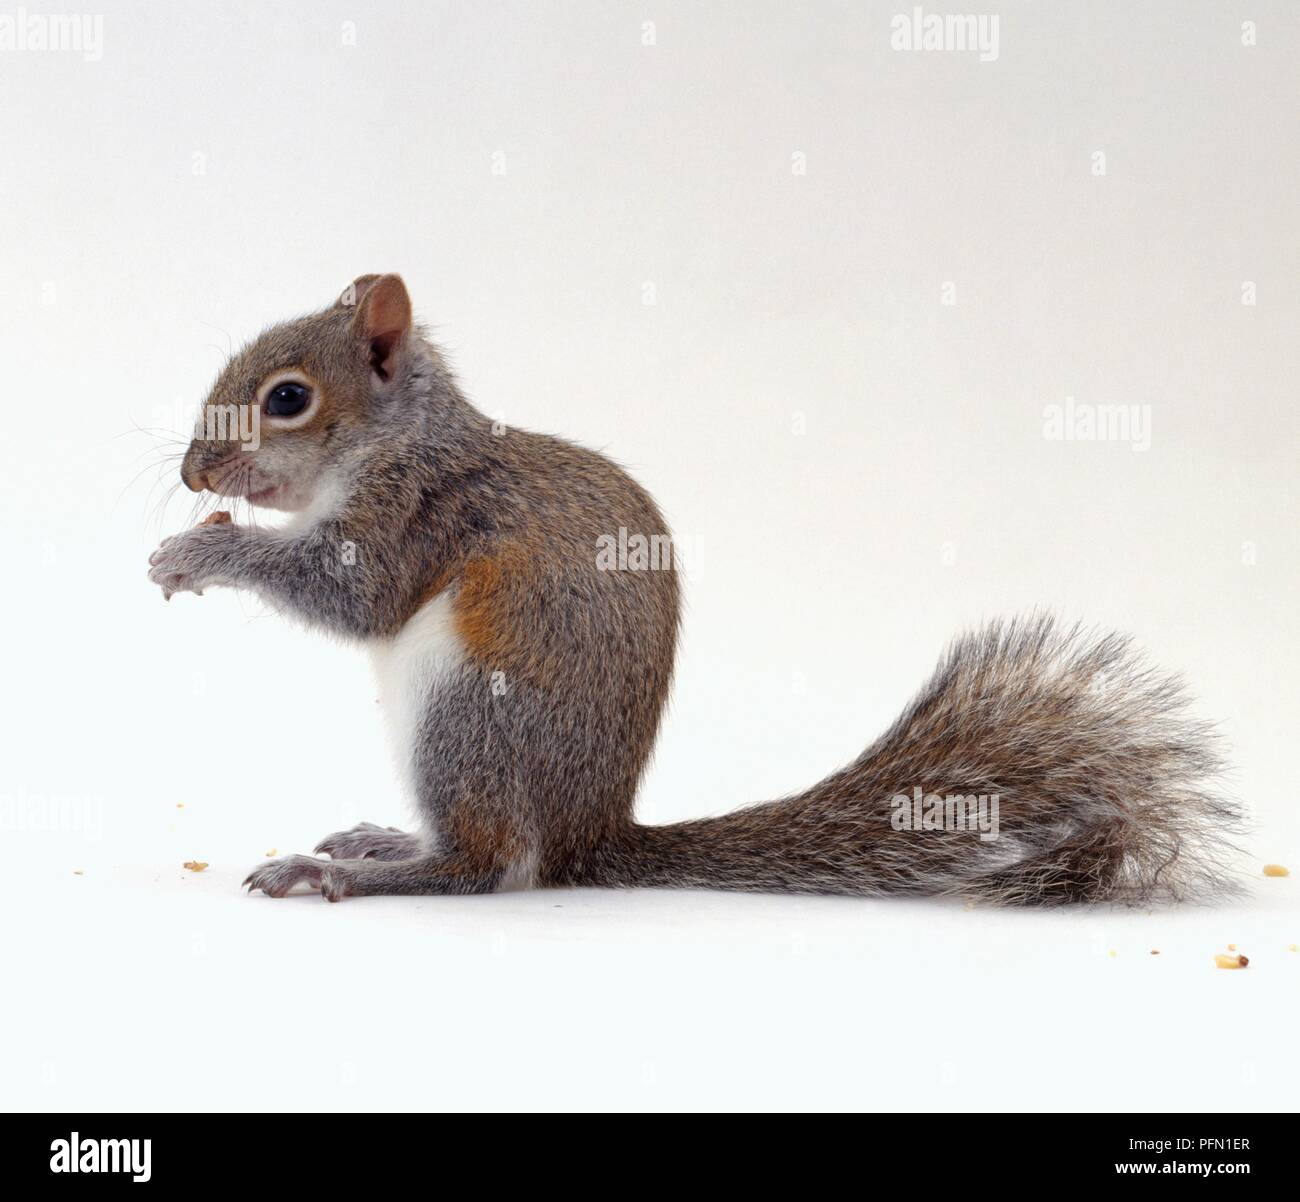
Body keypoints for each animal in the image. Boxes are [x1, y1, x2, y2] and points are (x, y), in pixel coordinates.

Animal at [148, 274, 1240, 905]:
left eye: (289, 397)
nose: (197, 473)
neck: (399, 441)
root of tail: (596, 837)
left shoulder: (421, 517)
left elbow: (355, 593)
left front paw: (197, 557)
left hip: (465, 716)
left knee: (489, 864)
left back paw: (347, 873)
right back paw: (378, 840)